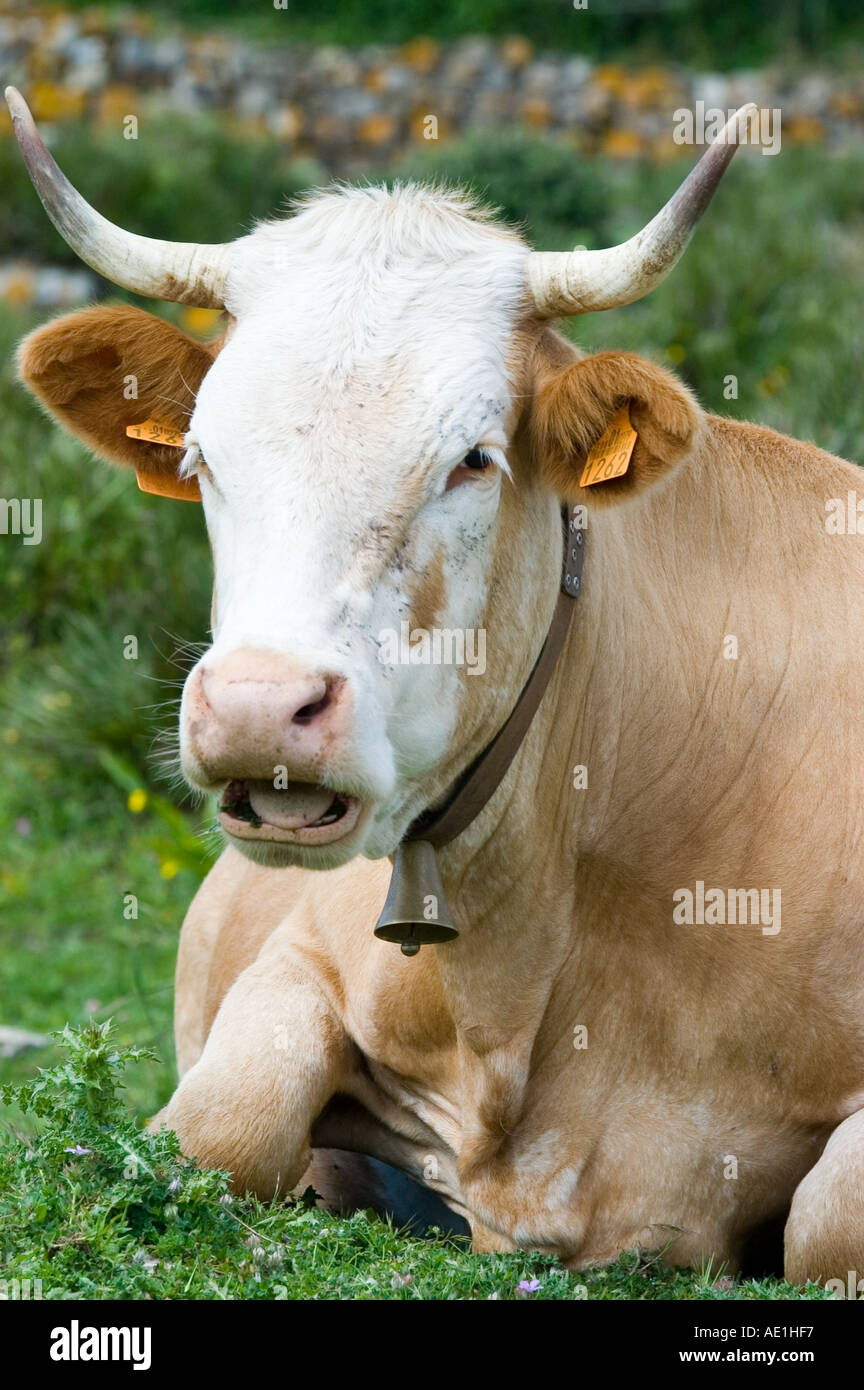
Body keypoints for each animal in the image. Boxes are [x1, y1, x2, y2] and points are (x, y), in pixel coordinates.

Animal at [8, 84, 864, 1286]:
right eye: (203, 459)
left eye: (472, 459)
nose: (259, 707)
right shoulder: (300, 955)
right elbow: (215, 1131)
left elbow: (830, 1214)